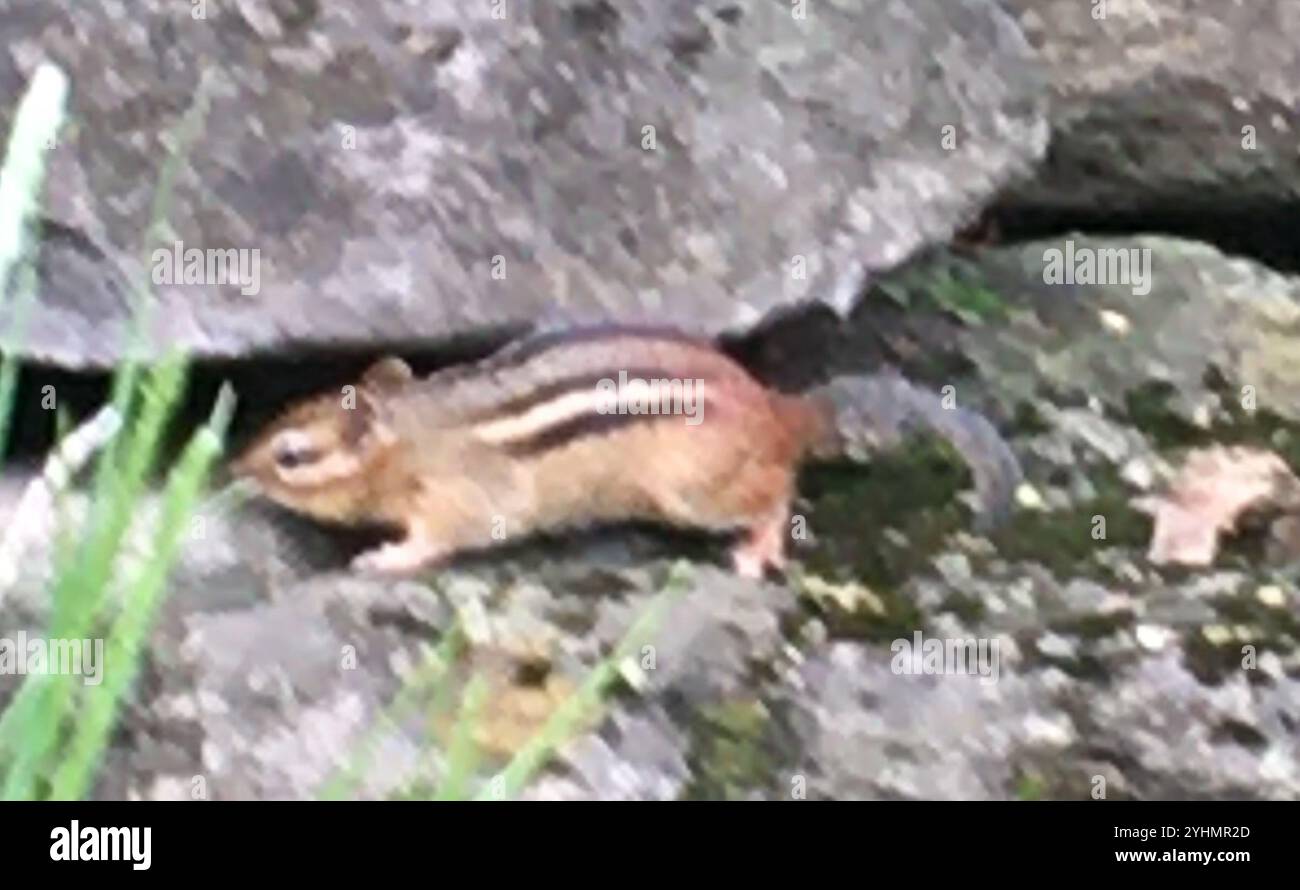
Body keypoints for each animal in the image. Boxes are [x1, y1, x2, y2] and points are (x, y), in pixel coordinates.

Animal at [229, 324, 1022, 578]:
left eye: (290, 455)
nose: (233, 469)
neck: (414, 431)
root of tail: (778, 410)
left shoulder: (460, 496)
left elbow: (438, 538)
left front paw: (388, 557)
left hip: (694, 491)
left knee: (778, 487)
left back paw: (758, 547)